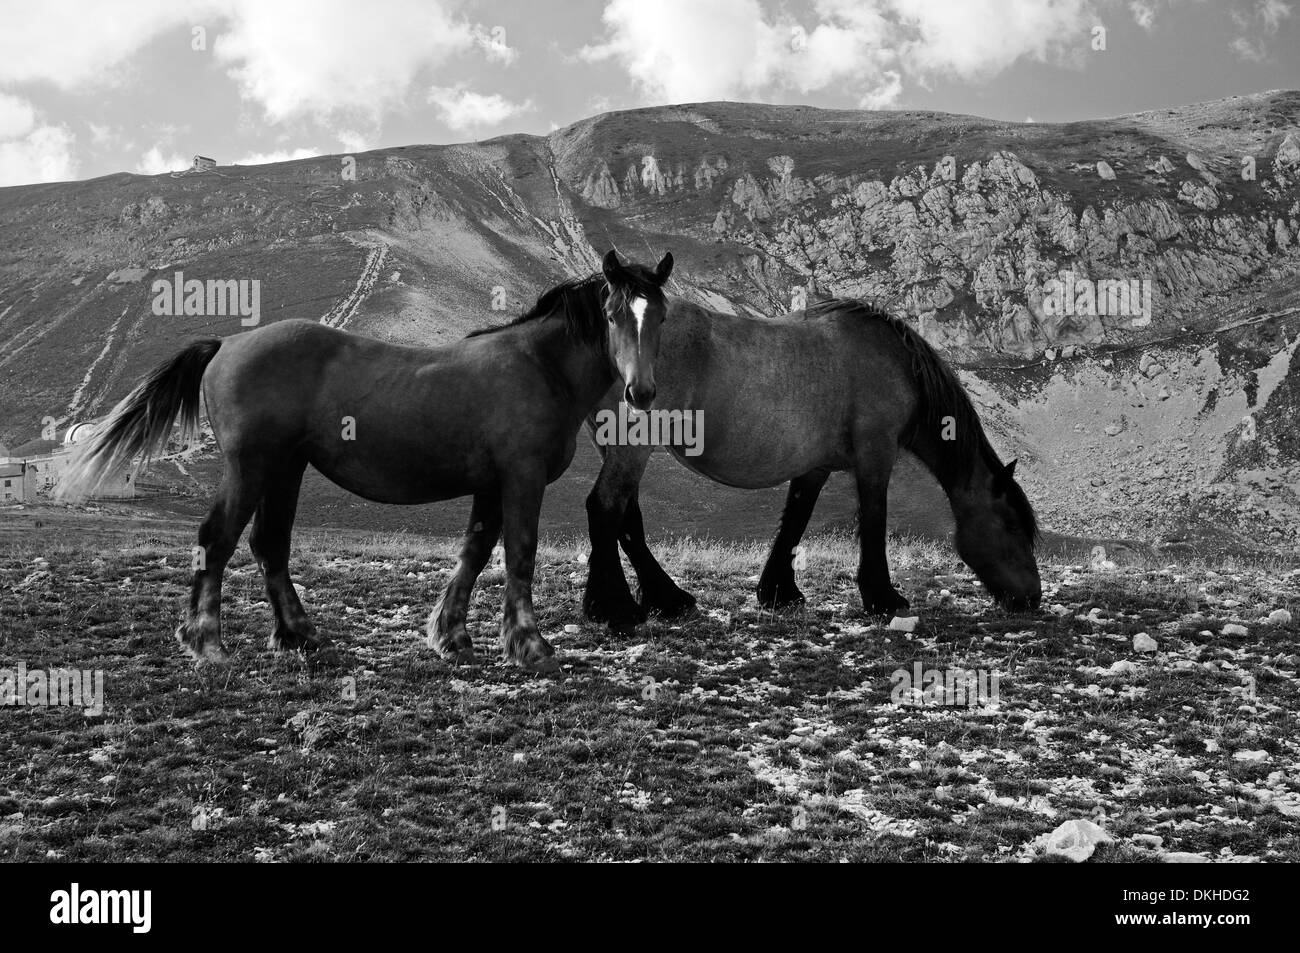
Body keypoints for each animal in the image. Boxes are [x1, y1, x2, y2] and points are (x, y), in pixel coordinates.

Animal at [59, 250, 675, 671]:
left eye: (662, 316)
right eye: (614, 312)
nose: (643, 391)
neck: (537, 366)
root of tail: (227, 345)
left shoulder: (491, 484)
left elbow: (474, 553)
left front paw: (451, 635)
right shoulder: (521, 478)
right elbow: (519, 553)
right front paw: (528, 643)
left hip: (285, 469)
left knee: (269, 544)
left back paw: (299, 634)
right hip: (251, 467)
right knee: (218, 540)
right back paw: (207, 642)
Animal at [580, 296, 1041, 629]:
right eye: (1011, 526)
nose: (1033, 598)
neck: (896, 364)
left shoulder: (814, 467)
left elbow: (795, 521)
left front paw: (779, 593)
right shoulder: (876, 454)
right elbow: (874, 519)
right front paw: (881, 597)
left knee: (626, 517)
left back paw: (664, 600)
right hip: (633, 444)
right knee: (606, 507)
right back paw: (617, 607)